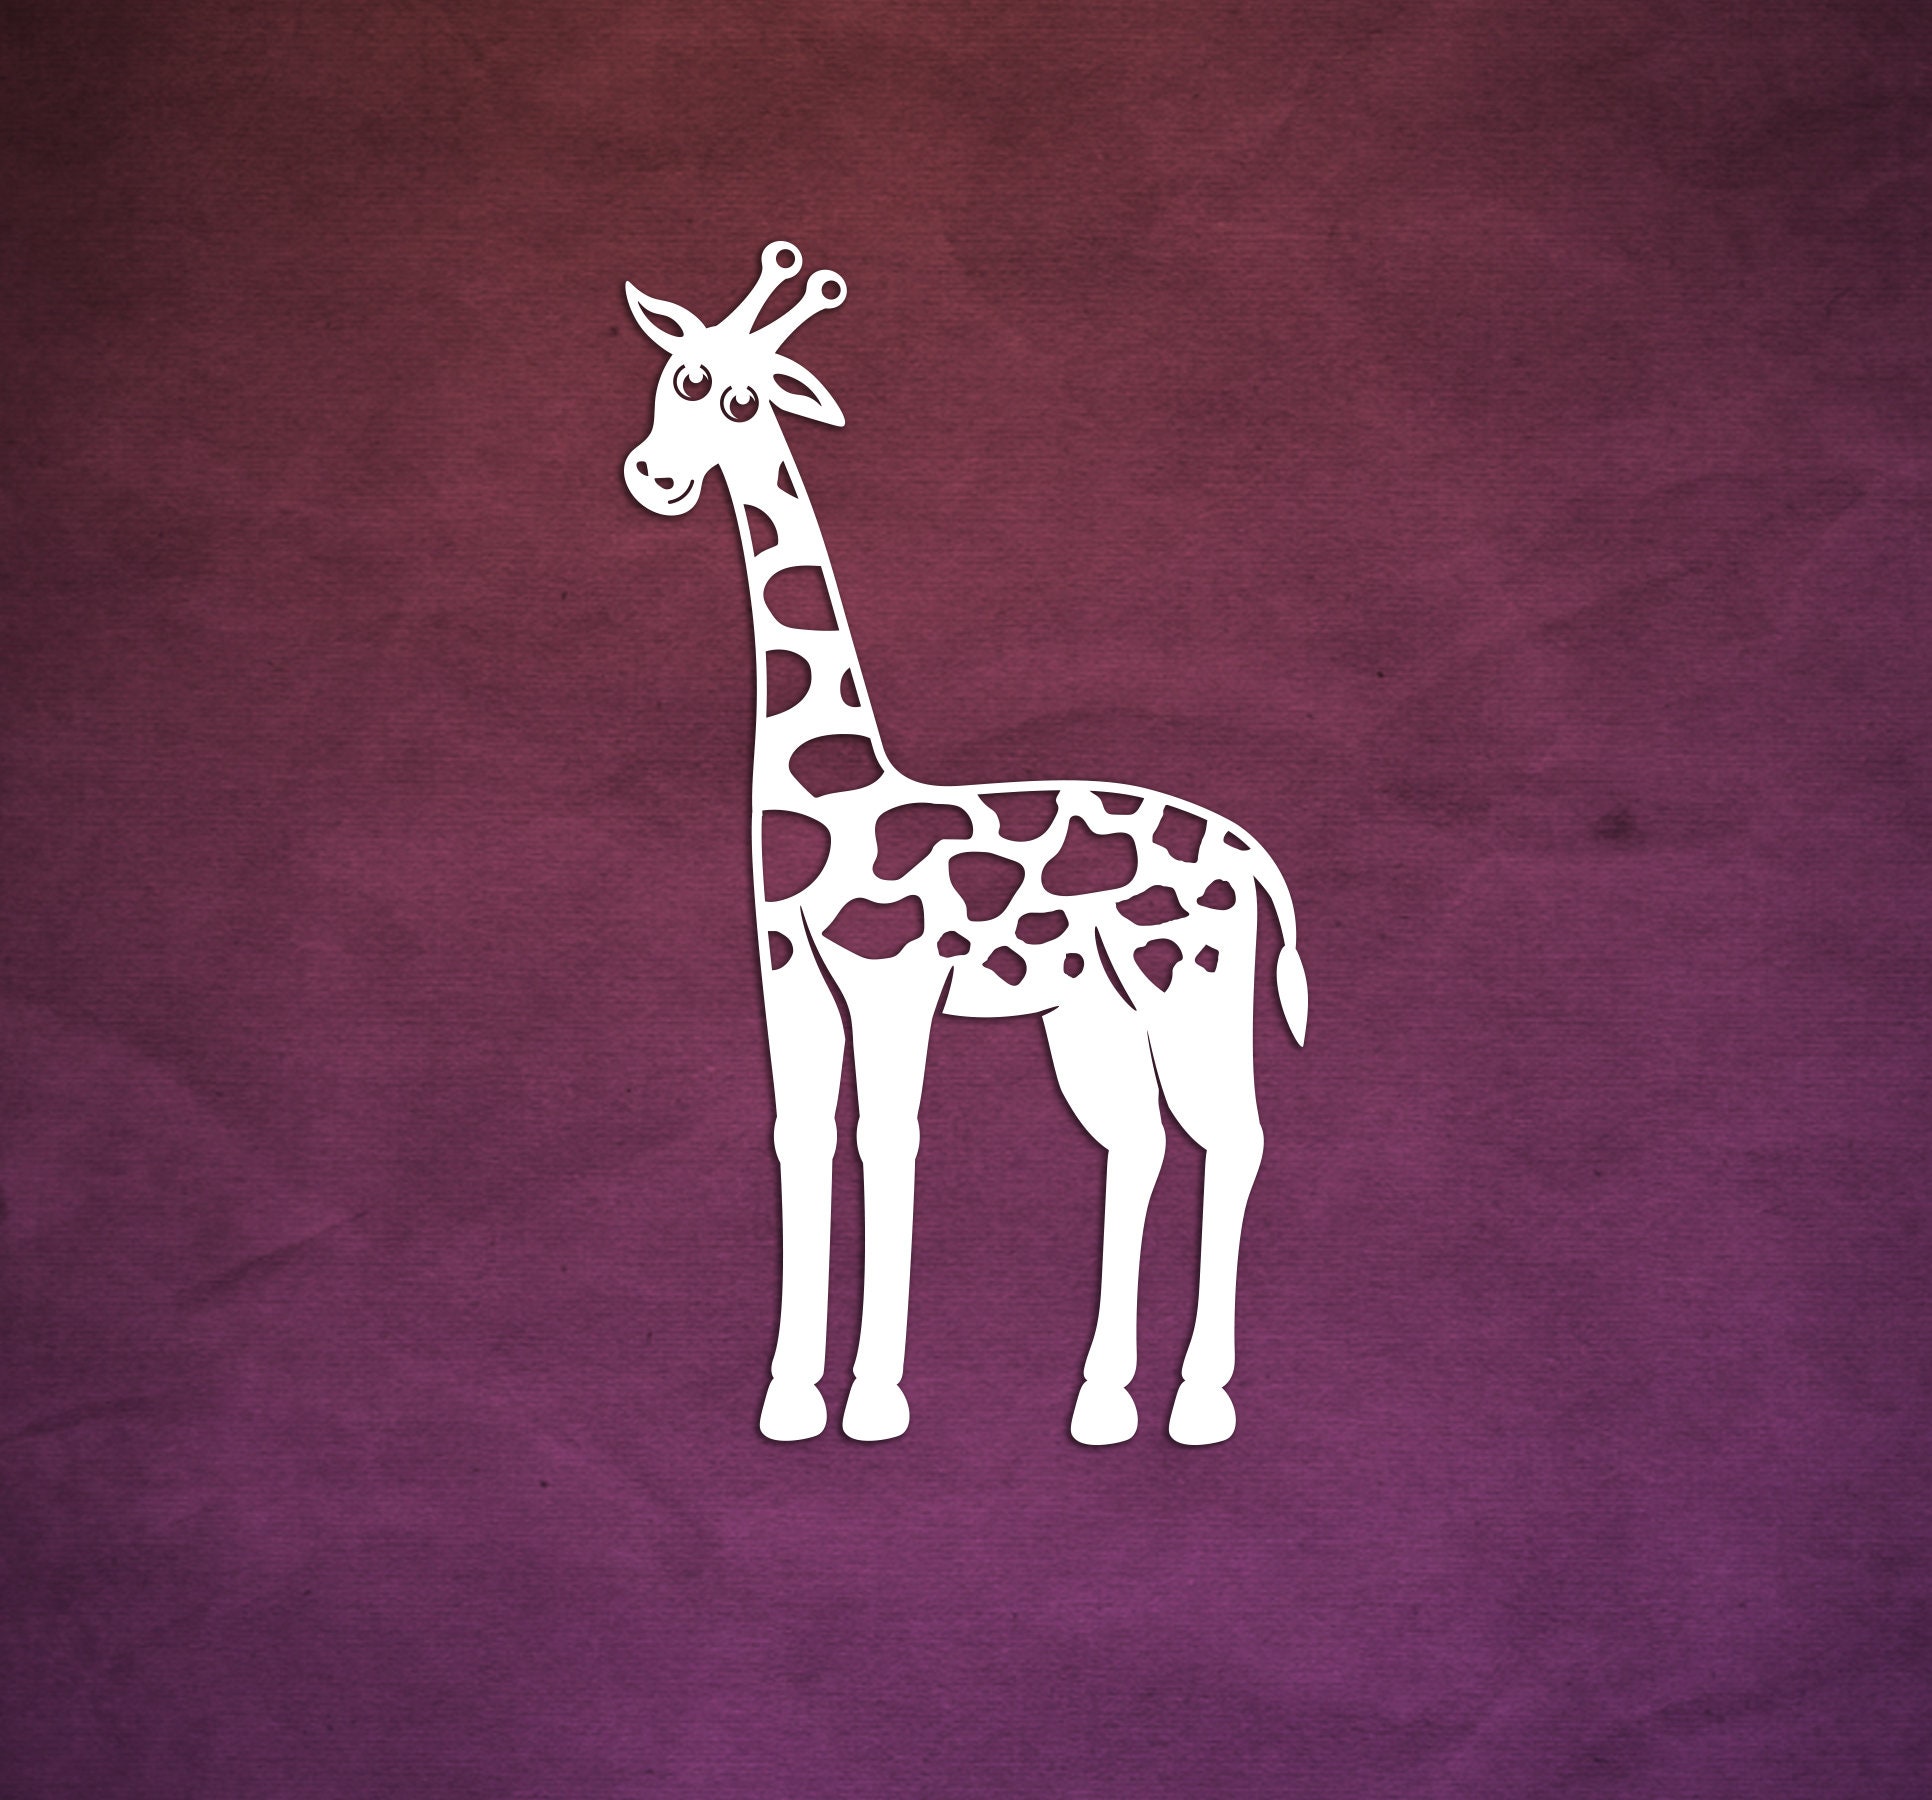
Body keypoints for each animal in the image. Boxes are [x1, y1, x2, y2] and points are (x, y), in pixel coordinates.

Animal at [623, 242, 1308, 1446]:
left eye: (743, 398)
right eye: (677, 377)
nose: (653, 478)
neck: (839, 785)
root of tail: (1255, 855)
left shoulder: (894, 984)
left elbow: (888, 1139)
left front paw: (873, 1399)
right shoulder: (789, 977)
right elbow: (801, 1135)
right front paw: (791, 1397)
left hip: (1194, 984)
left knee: (1233, 1137)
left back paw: (1199, 1403)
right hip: (1089, 1013)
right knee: (1140, 1142)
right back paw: (1102, 1401)